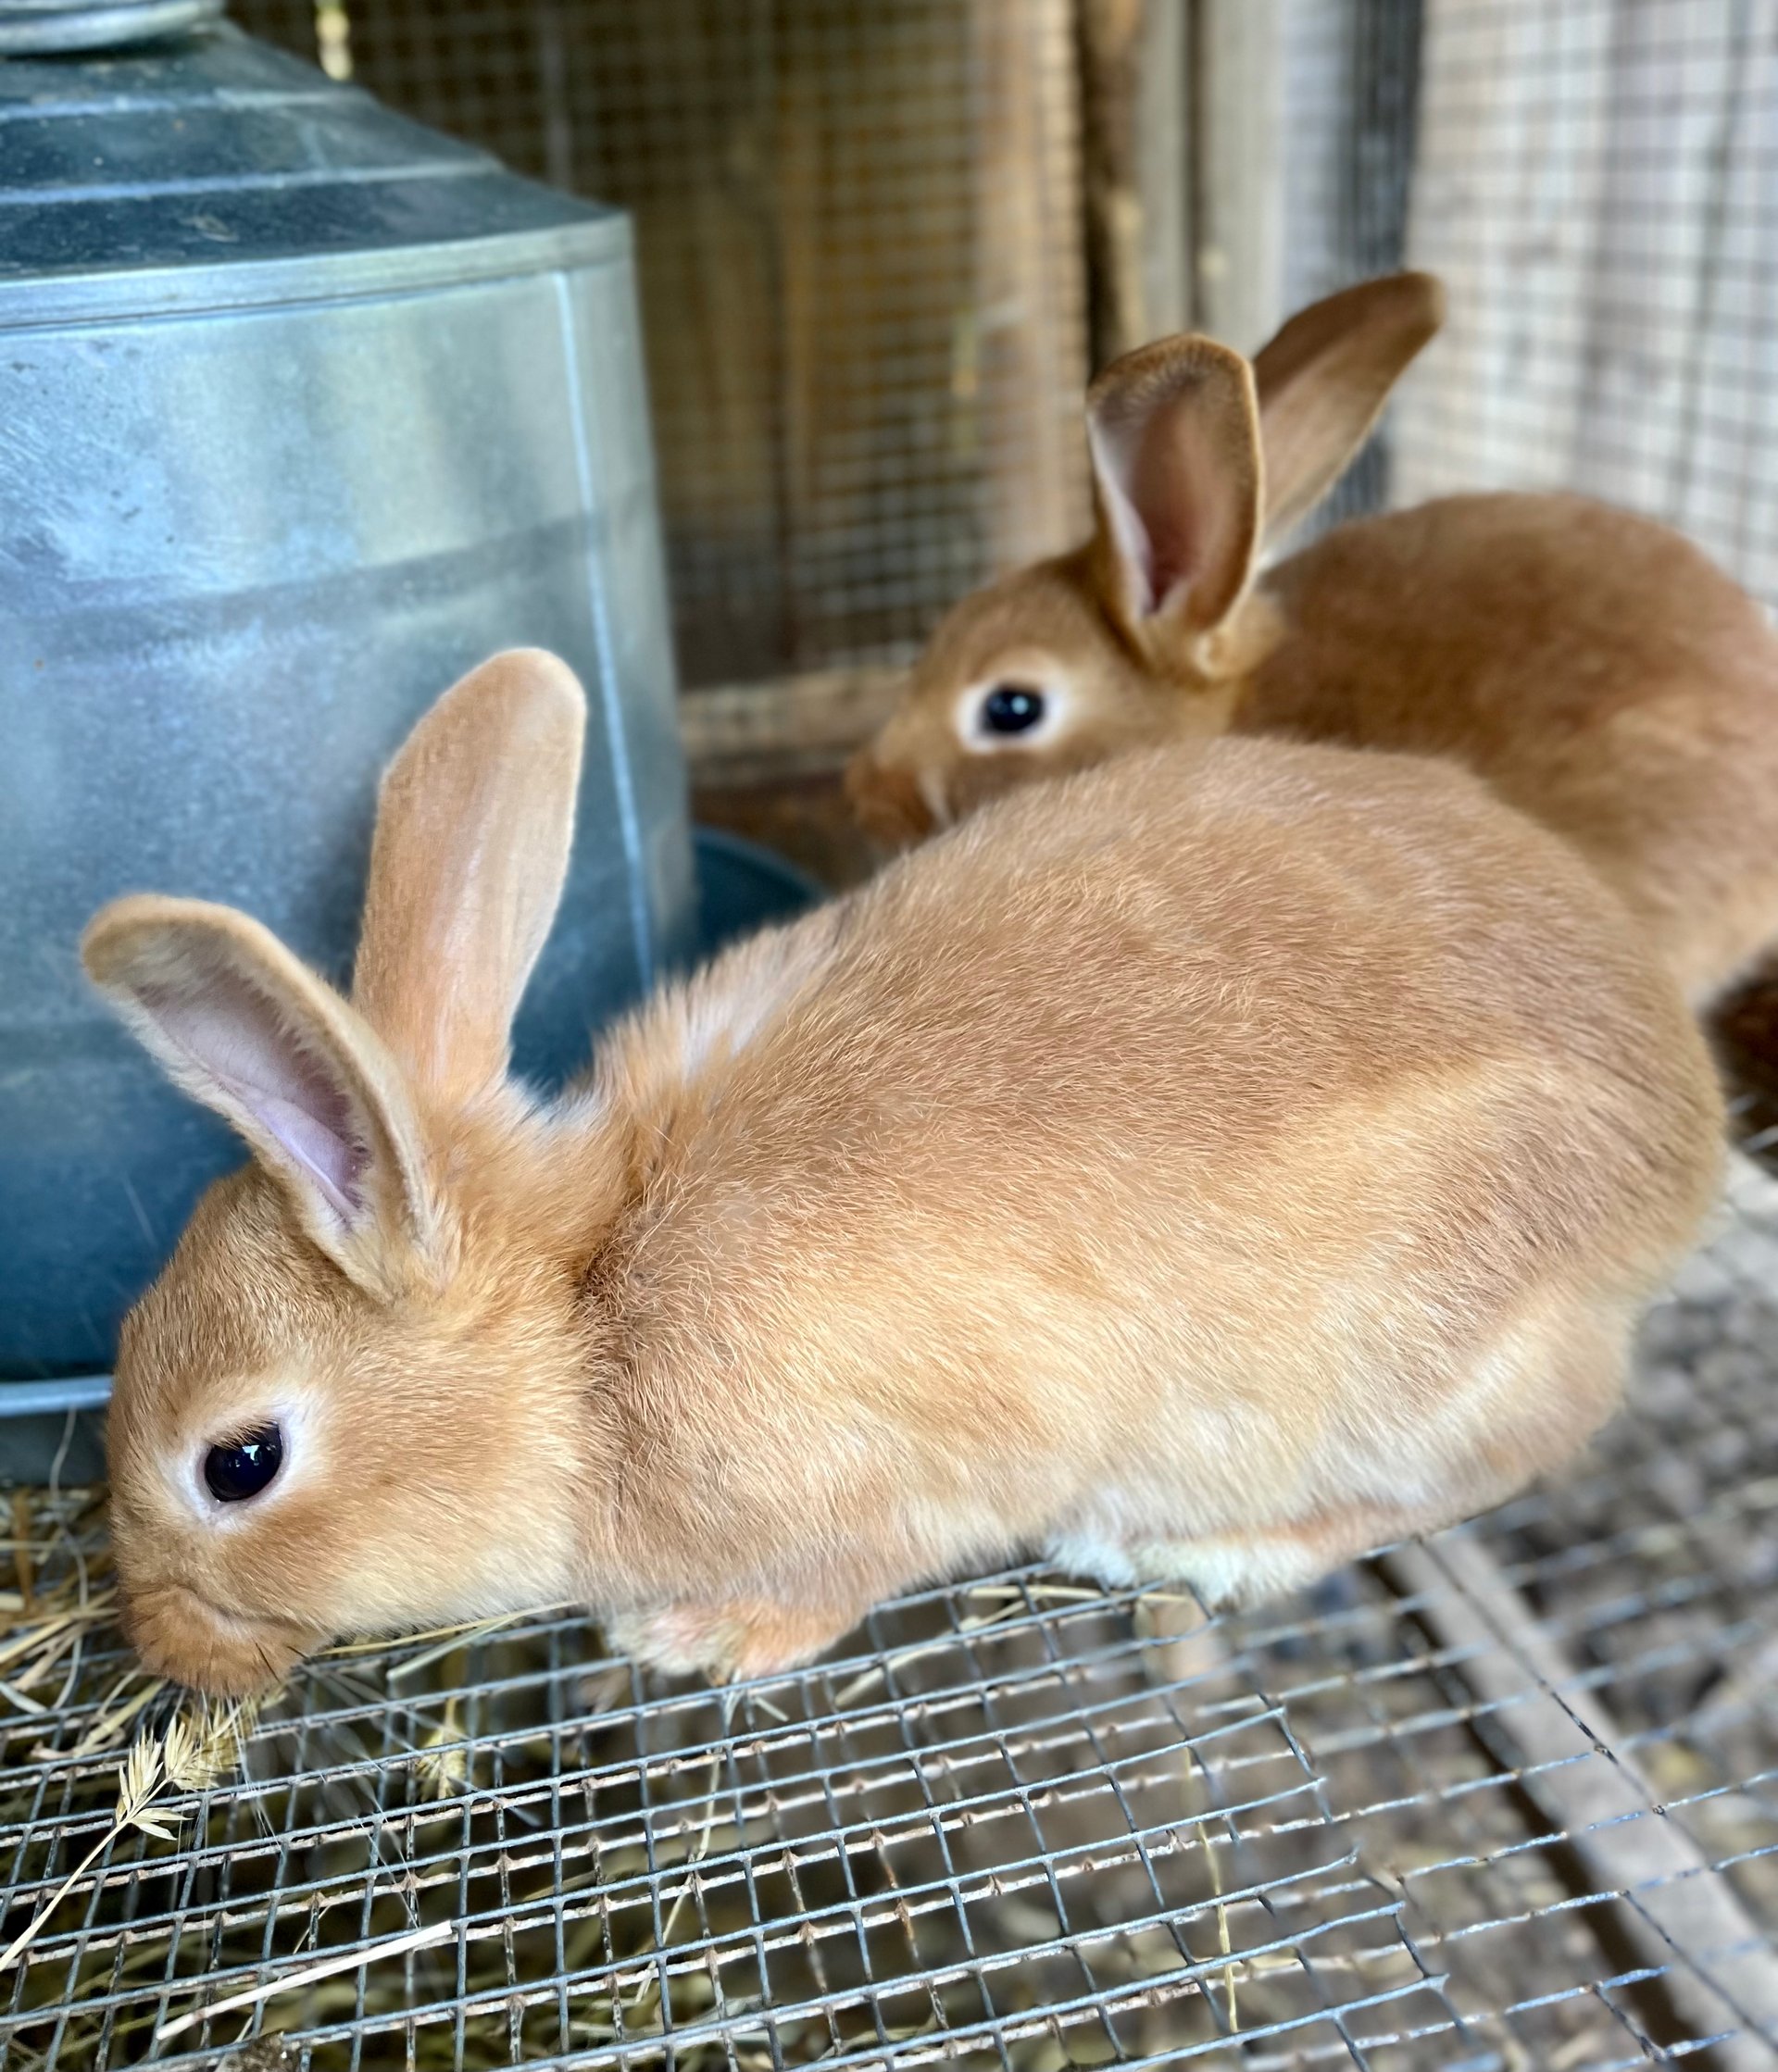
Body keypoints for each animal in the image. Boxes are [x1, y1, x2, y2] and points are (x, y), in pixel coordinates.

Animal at [84, 649, 1722, 1699]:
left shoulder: (919, 1466)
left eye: (239, 1461)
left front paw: (699, 1640)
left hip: (1427, 1353)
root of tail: (1688, 1140)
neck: (586, 1313)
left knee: (1502, 1459)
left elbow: (863, 1564)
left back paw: (1212, 1546)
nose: (156, 1635)